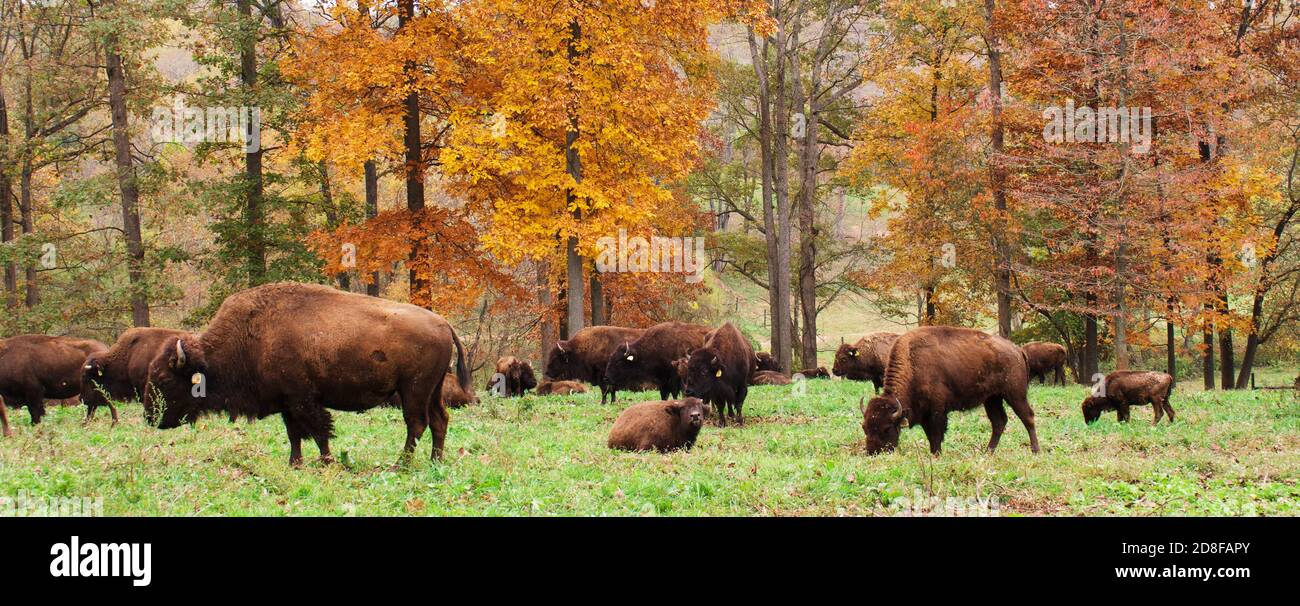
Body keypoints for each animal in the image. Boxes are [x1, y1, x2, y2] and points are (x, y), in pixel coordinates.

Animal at [148, 282, 470, 467]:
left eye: (163, 380)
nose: (151, 418)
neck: (250, 335)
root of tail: (443, 324)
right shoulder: (287, 403)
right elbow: (294, 434)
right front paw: (295, 463)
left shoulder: (303, 399)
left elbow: (318, 430)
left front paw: (326, 461)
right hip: (432, 390)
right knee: (439, 421)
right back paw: (435, 461)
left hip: (413, 390)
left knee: (416, 423)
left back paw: (400, 464)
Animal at [860, 326, 1040, 455]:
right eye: (864, 427)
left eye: (886, 428)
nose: (872, 452)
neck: (913, 364)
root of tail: (1018, 350)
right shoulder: (924, 413)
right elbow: (930, 436)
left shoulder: (937, 411)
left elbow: (936, 434)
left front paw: (936, 454)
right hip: (992, 399)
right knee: (999, 422)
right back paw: (988, 452)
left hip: (1015, 395)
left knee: (1028, 417)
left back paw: (1035, 450)